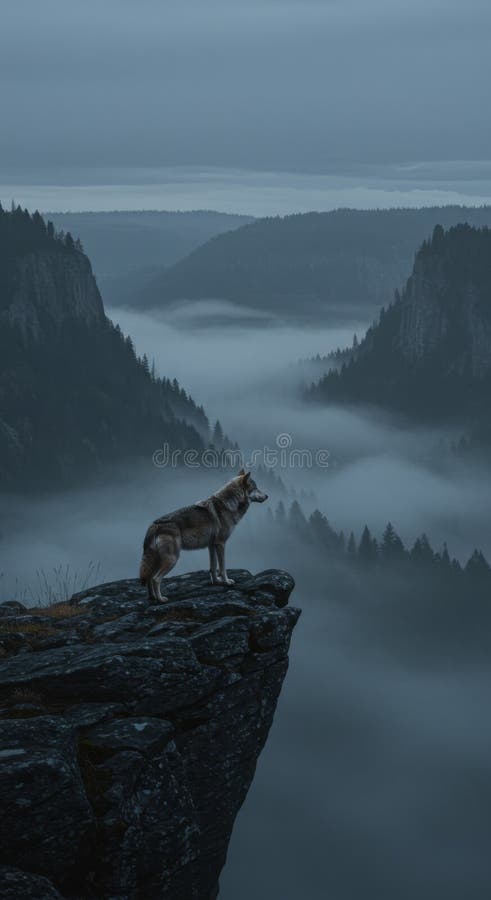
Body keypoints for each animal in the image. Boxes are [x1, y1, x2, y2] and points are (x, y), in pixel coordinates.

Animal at [139, 470, 268, 602]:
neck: (228, 504)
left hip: (159, 560)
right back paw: (160, 599)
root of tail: (154, 525)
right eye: (256, 488)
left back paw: (152, 597)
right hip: (172, 559)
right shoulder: (220, 543)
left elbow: (213, 566)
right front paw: (226, 581)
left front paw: (216, 581)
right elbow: (222, 567)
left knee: (149, 577)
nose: (267, 496)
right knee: (155, 579)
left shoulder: (211, 545)